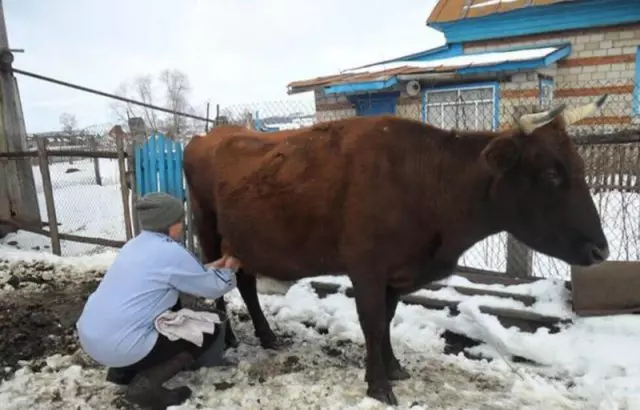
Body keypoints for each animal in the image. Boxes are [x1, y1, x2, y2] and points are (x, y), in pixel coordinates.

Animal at [181, 95, 608, 404]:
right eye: (551, 174)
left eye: (581, 168)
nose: (601, 252)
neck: (429, 181)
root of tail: (206, 136)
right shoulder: (366, 268)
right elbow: (372, 322)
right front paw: (379, 386)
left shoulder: (397, 272)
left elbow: (386, 320)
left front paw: (394, 367)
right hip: (207, 227)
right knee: (218, 281)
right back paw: (231, 338)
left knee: (245, 282)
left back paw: (267, 335)